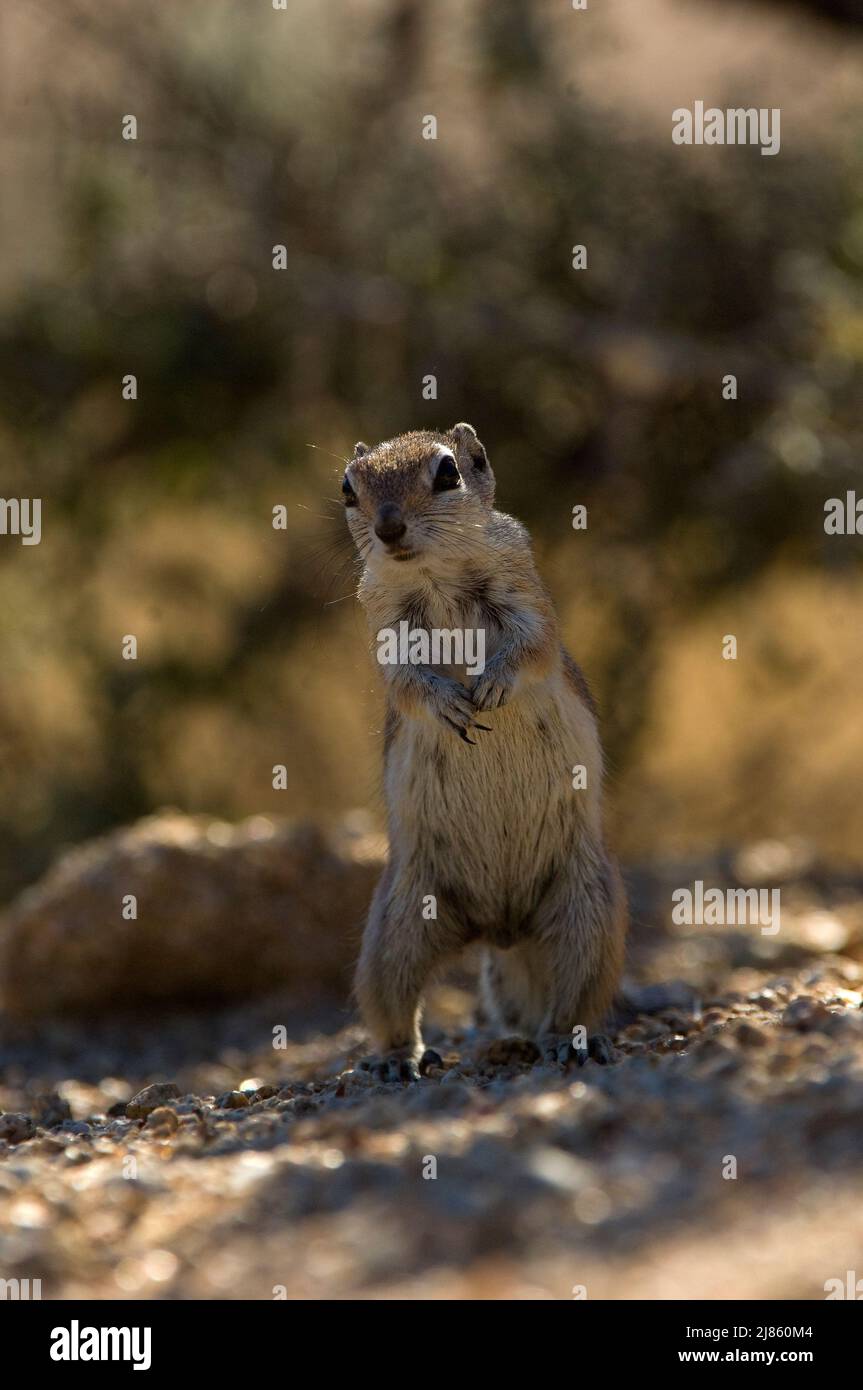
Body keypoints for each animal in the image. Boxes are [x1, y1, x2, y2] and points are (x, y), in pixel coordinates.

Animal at [343, 423, 627, 1080]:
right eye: (348, 489)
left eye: (448, 473)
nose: (388, 528)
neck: (435, 575)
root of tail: (503, 926)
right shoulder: (386, 628)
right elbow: (405, 680)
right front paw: (447, 702)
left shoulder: (527, 599)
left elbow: (531, 646)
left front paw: (492, 684)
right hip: (397, 923)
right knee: (391, 998)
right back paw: (398, 1059)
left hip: (590, 913)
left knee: (575, 996)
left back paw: (570, 1042)